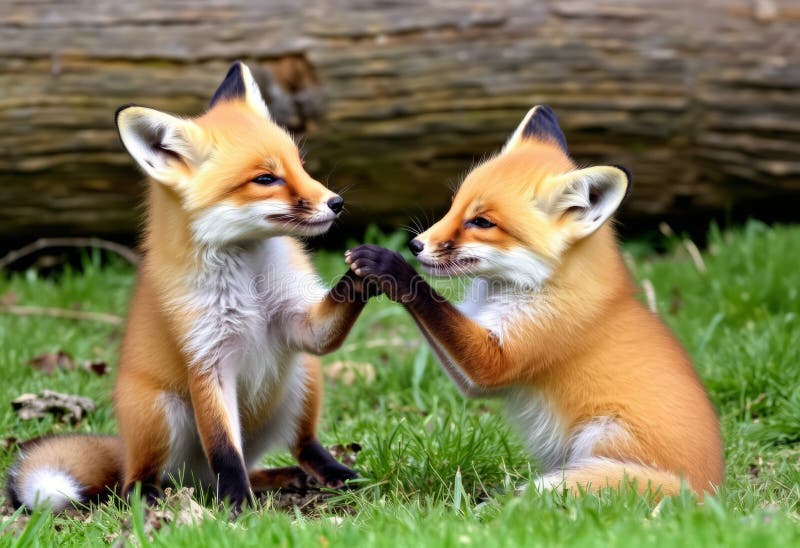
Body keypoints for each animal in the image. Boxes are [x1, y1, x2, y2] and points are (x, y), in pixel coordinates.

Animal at [7, 62, 370, 512]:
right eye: (266, 178)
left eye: (300, 166)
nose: (336, 203)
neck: (252, 286)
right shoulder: (207, 357)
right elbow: (224, 449)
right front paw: (238, 506)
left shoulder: (300, 326)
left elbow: (324, 327)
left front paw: (373, 267)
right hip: (159, 414)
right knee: (138, 483)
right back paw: (156, 496)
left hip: (302, 379)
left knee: (301, 446)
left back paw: (317, 475)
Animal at [345, 105, 724, 497]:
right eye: (454, 207)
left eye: (482, 222)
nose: (416, 245)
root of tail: (709, 492)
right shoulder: (474, 375)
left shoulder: (498, 360)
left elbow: (433, 304)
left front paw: (389, 267)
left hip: (599, 442)